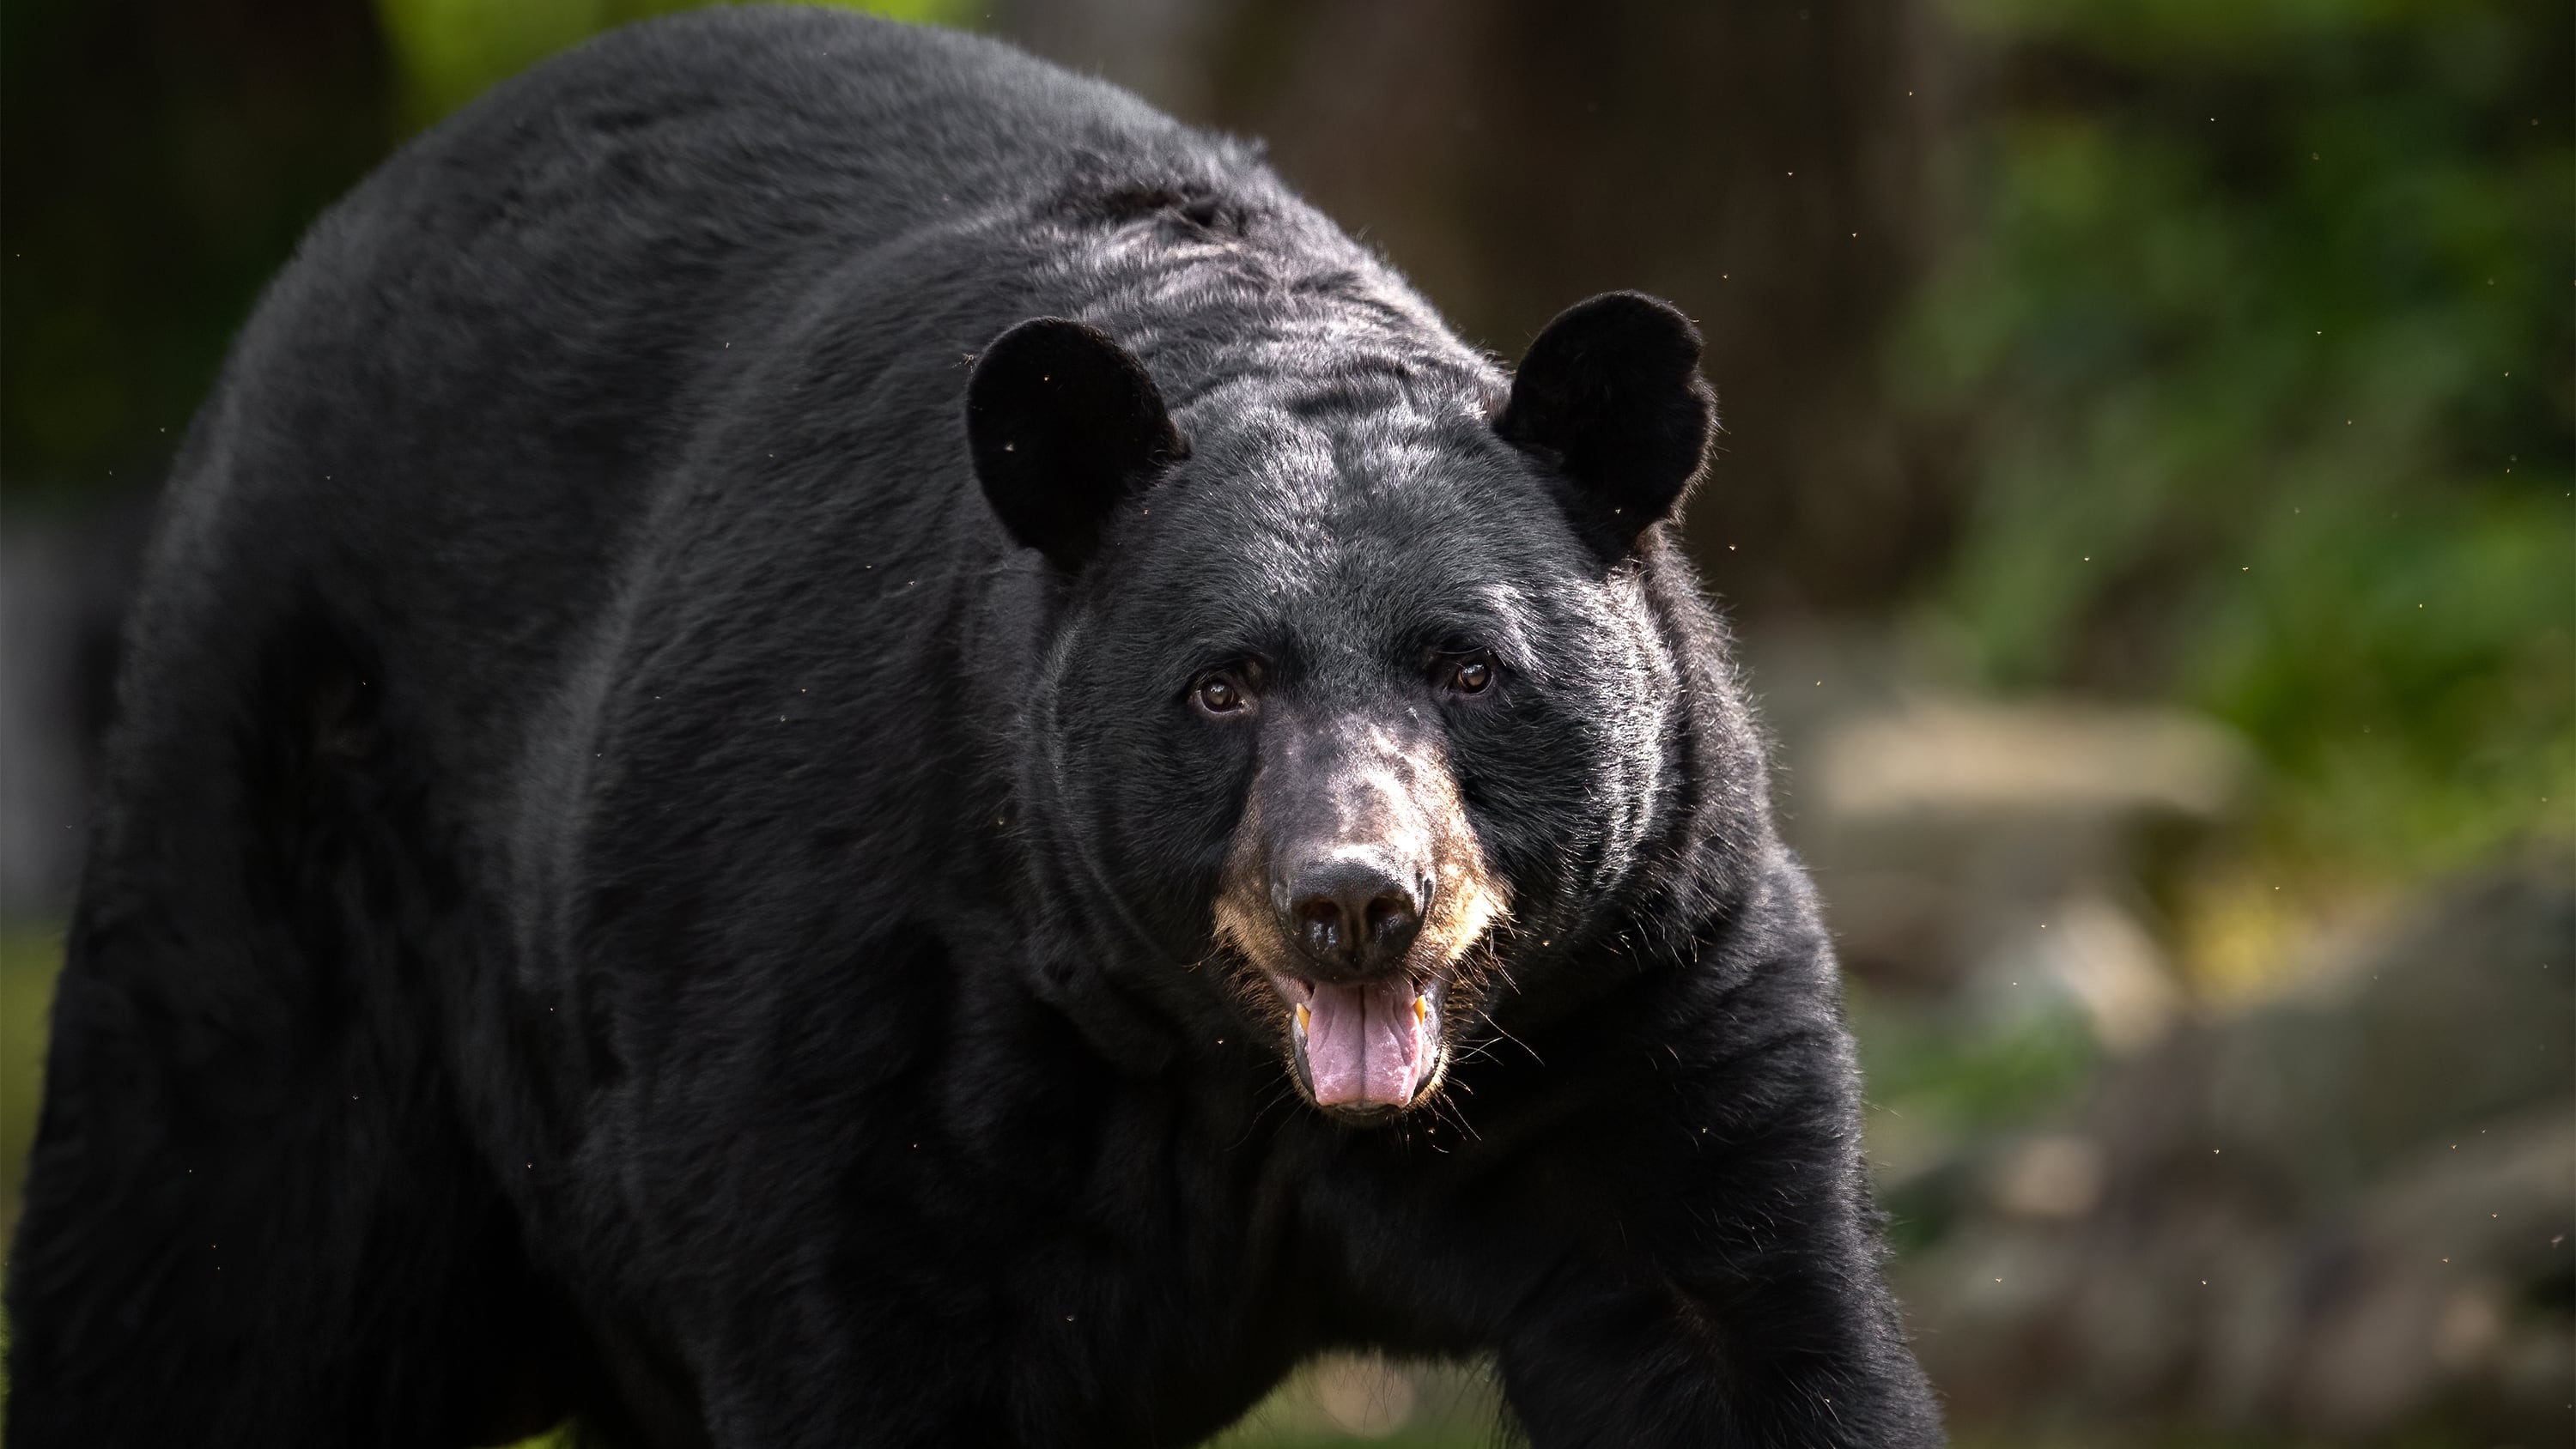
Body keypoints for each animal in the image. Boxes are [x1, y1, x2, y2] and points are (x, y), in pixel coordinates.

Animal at [4, 8, 1944, 1447]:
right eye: (1221, 683)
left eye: (1470, 666)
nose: (1353, 900)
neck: (1230, 1064)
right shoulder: (874, 1003)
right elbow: (856, 1306)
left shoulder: (1635, 995)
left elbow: (1738, 1316)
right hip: (285, 875)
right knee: (200, 1270)